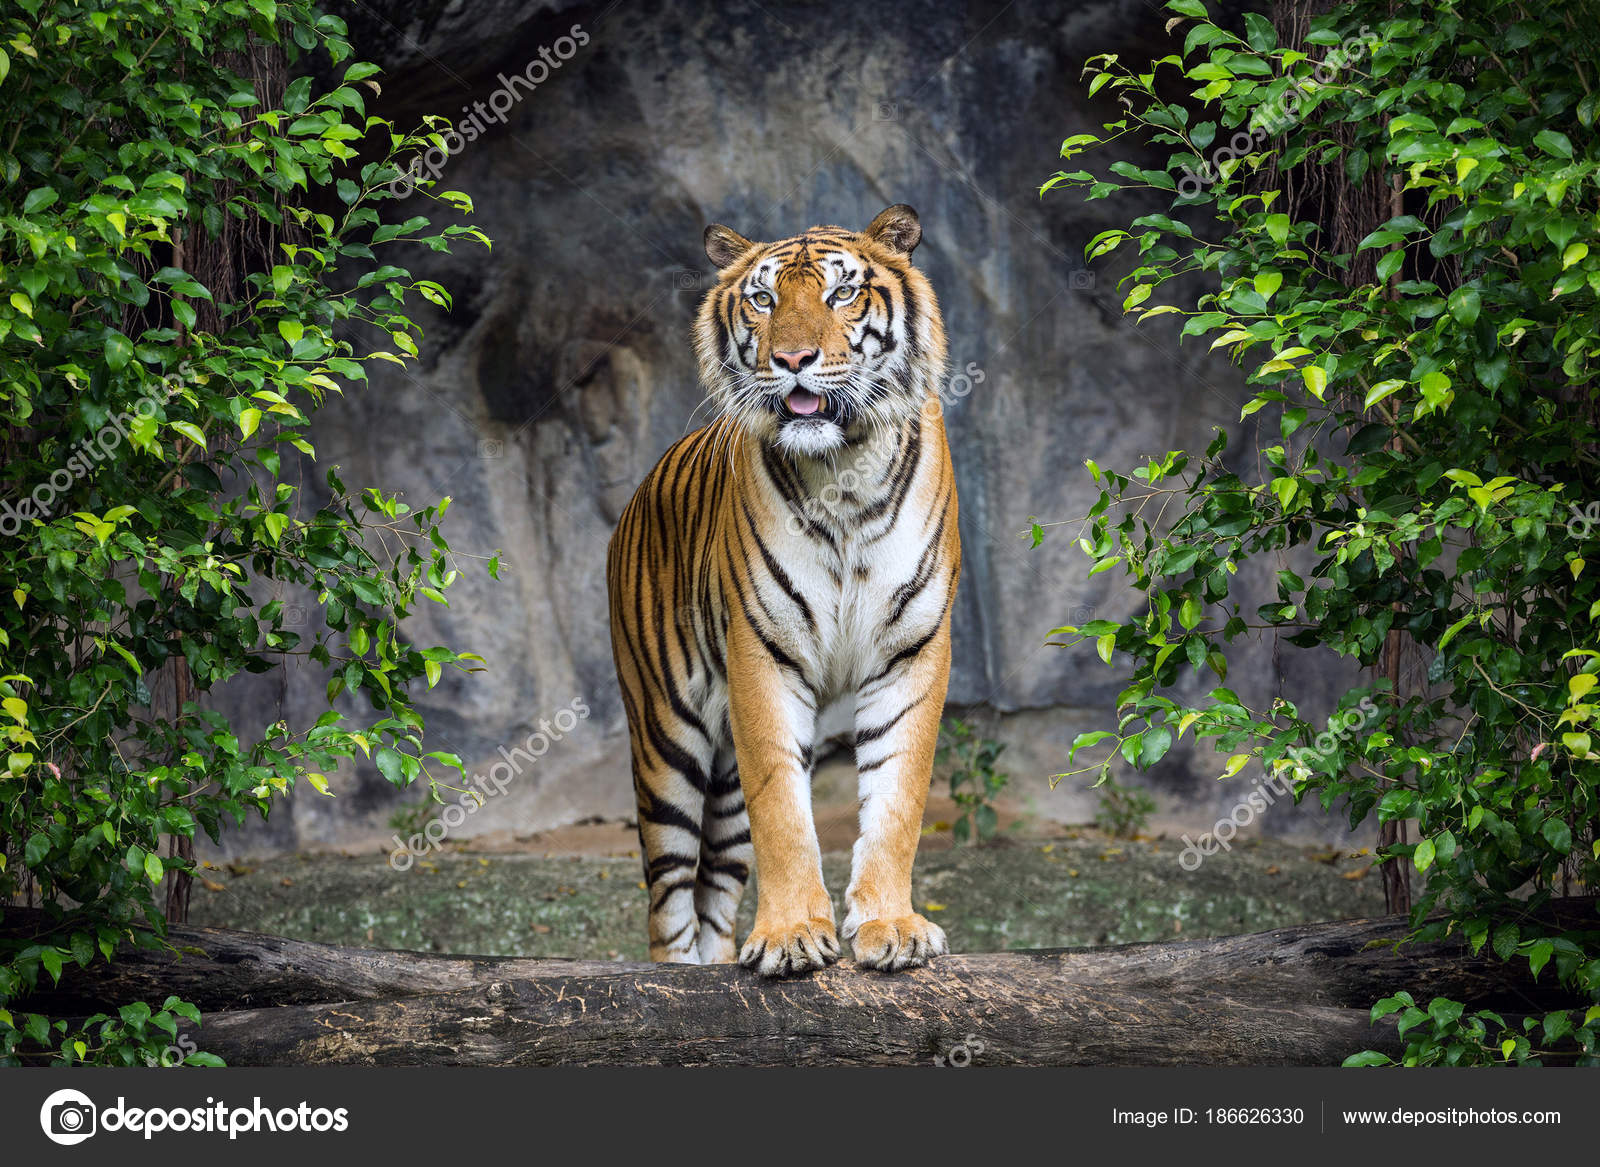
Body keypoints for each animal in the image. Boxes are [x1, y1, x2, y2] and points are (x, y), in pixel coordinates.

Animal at [605, 204, 960, 977]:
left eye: (841, 294)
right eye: (764, 300)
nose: (793, 359)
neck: (845, 473)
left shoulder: (912, 650)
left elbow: (897, 799)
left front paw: (891, 926)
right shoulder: (761, 654)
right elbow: (784, 813)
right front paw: (794, 933)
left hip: (722, 782)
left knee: (714, 892)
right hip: (665, 738)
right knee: (669, 901)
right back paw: (674, 978)